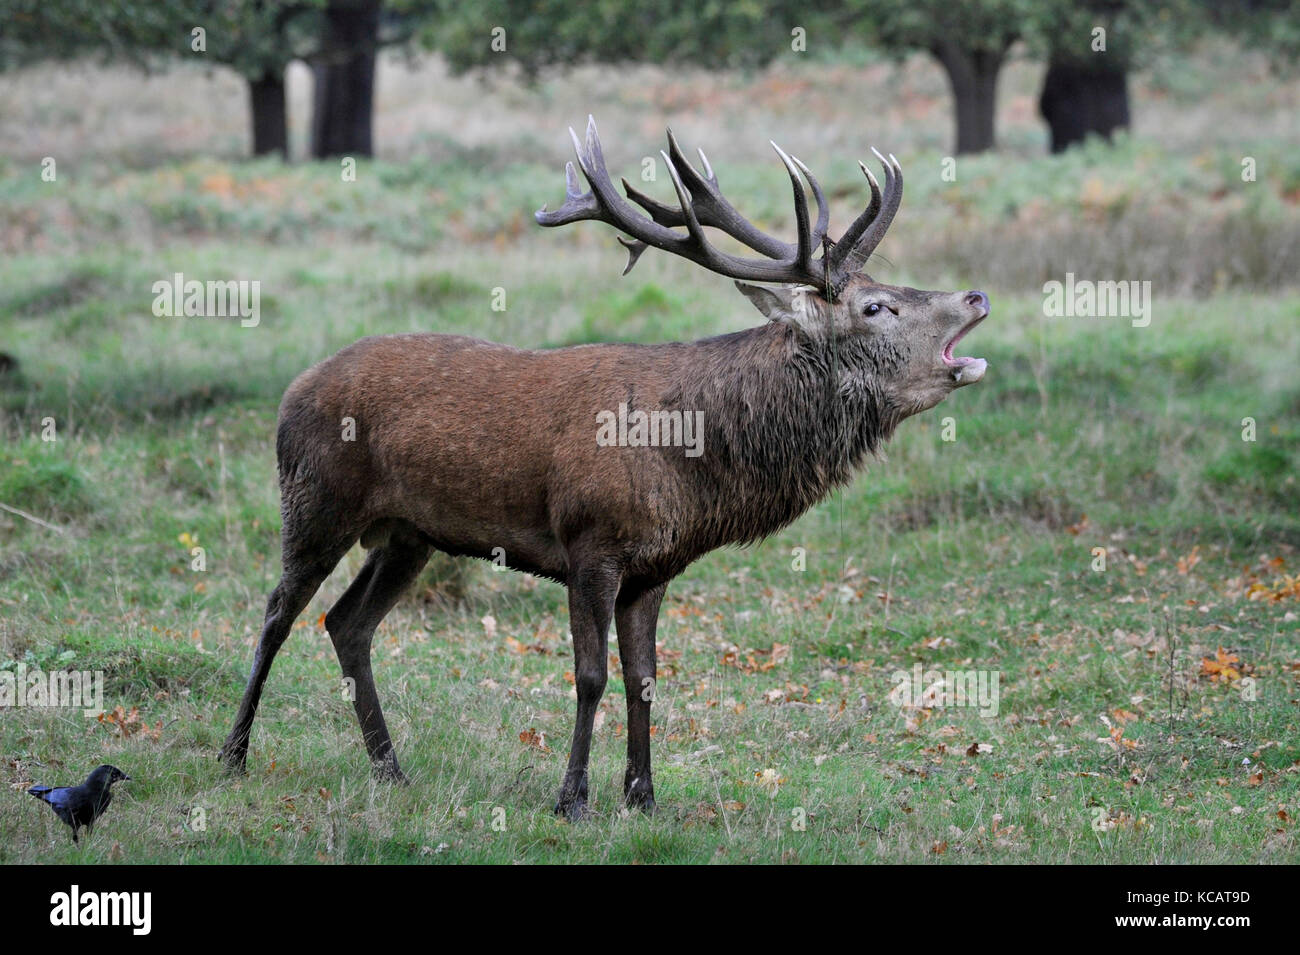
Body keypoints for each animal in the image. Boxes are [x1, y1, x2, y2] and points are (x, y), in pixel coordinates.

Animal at [220, 117, 990, 819]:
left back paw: (390, 768)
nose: (975, 296)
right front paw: (573, 798)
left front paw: (643, 797)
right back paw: (234, 754)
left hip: (409, 534)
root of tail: (291, 391)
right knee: (278, 612)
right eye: (875, 305)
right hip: (315, 500)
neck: (688, 460)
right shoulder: (590, 543)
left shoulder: (653, 568)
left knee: (347, 623)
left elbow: (642, 678)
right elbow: (589, 675)